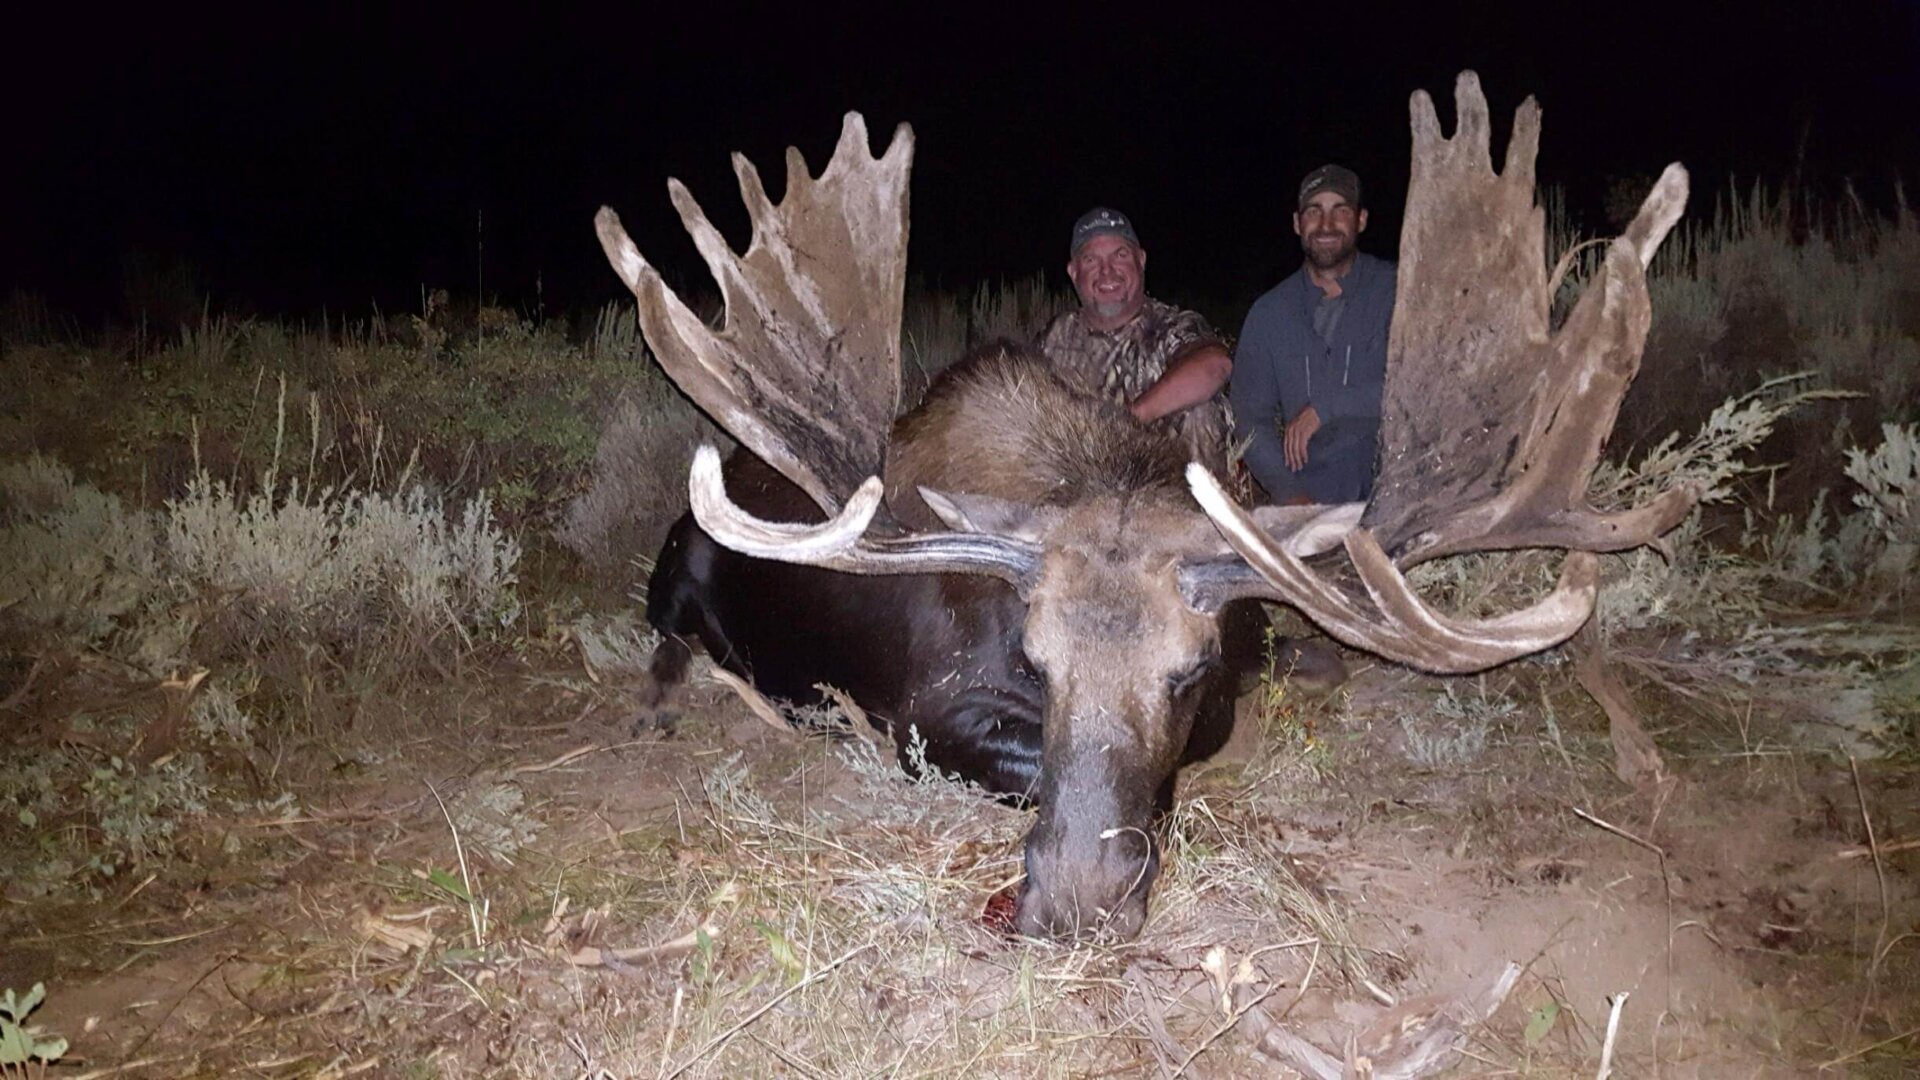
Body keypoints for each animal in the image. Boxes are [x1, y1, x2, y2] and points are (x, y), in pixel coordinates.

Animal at [594, 72, 1697, 942]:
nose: (1075, 907)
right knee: (666, 647)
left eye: (1192, 671)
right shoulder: (926, 712)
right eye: (1036, 659)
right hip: (674, 584)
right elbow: (1023, 765)